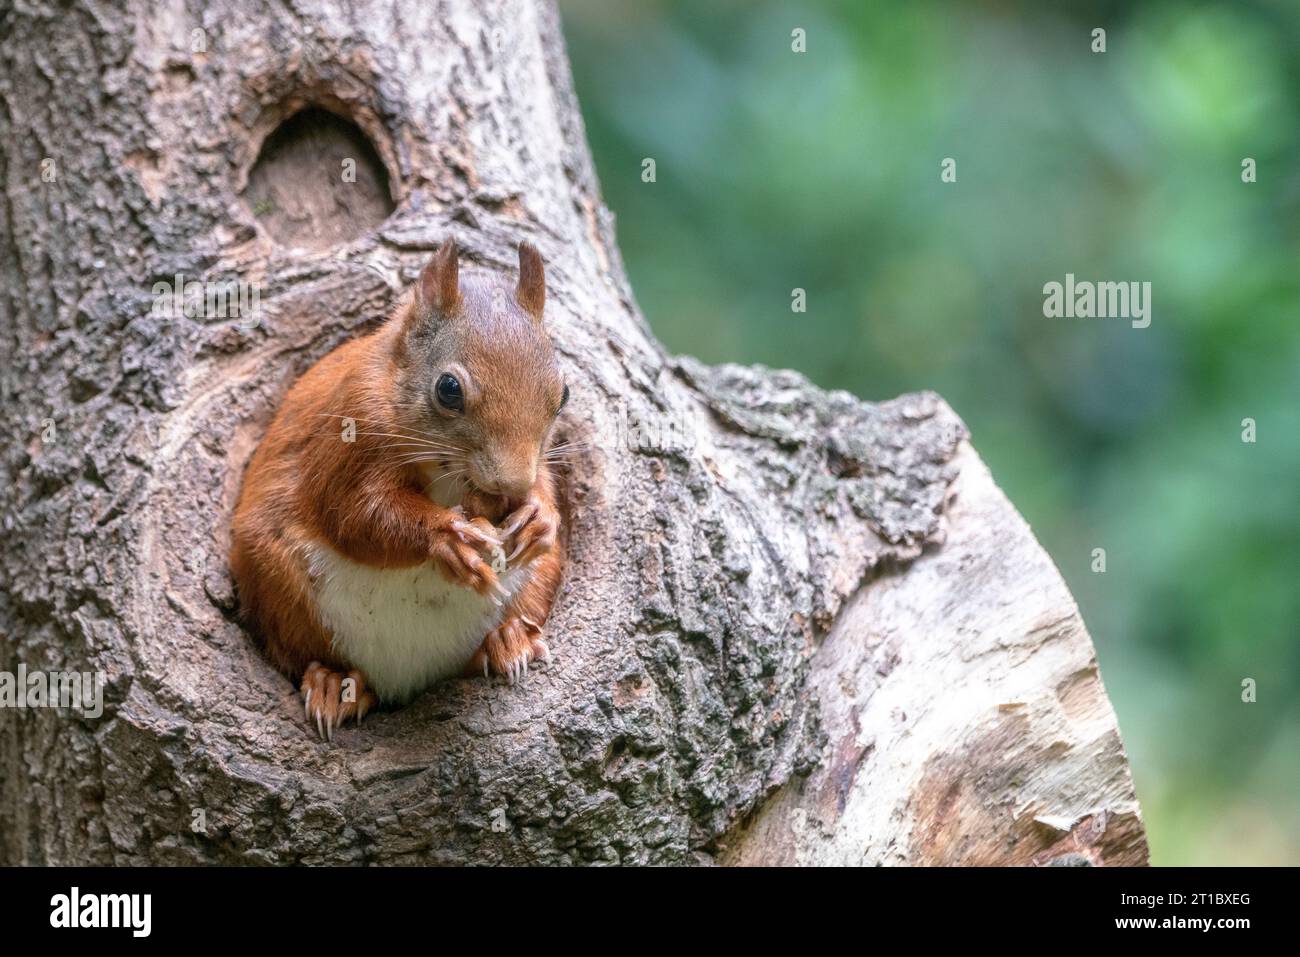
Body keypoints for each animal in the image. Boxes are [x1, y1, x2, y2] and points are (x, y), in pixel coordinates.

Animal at [230, 239, 567, 740]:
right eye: (448, 389)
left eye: (564, 393)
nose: (511, 484)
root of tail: (403, 678)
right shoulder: (348, 433)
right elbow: (355, 513)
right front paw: (447, 537)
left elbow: (544, 487)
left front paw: (539, 518)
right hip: (275, 580)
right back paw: (334, 682)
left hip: (535, 582)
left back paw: (505, 641)